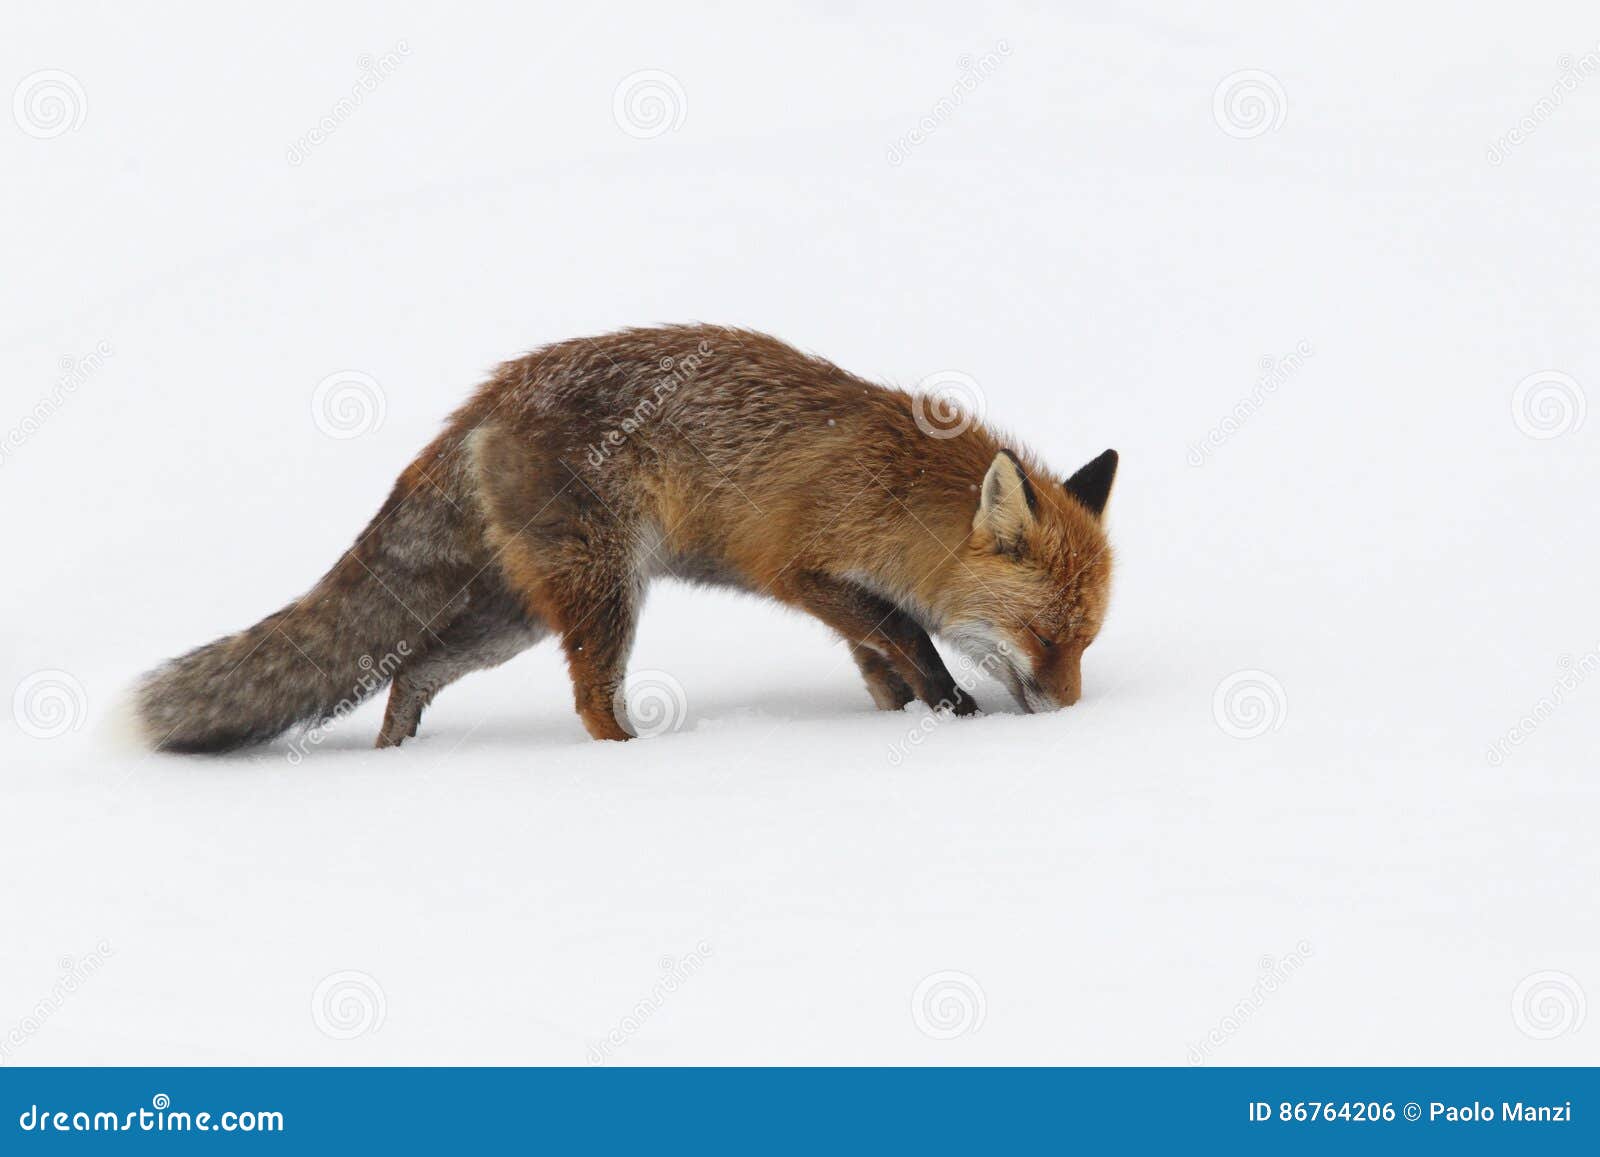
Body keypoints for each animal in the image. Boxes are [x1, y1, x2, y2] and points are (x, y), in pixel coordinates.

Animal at [133, 325, 1118, 751]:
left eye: (1085, 641)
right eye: (1045, 636)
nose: (1071, 717)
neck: (896, 489)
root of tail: (486, 396)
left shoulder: (841, 597)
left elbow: (884, 659)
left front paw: (912, 714)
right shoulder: (799, 569)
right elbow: (907, 633)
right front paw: (951, 712)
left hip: (513, 618)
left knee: (412, 669)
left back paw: (398, 758)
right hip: (605, 591)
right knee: (589, 702)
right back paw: (633, 763)